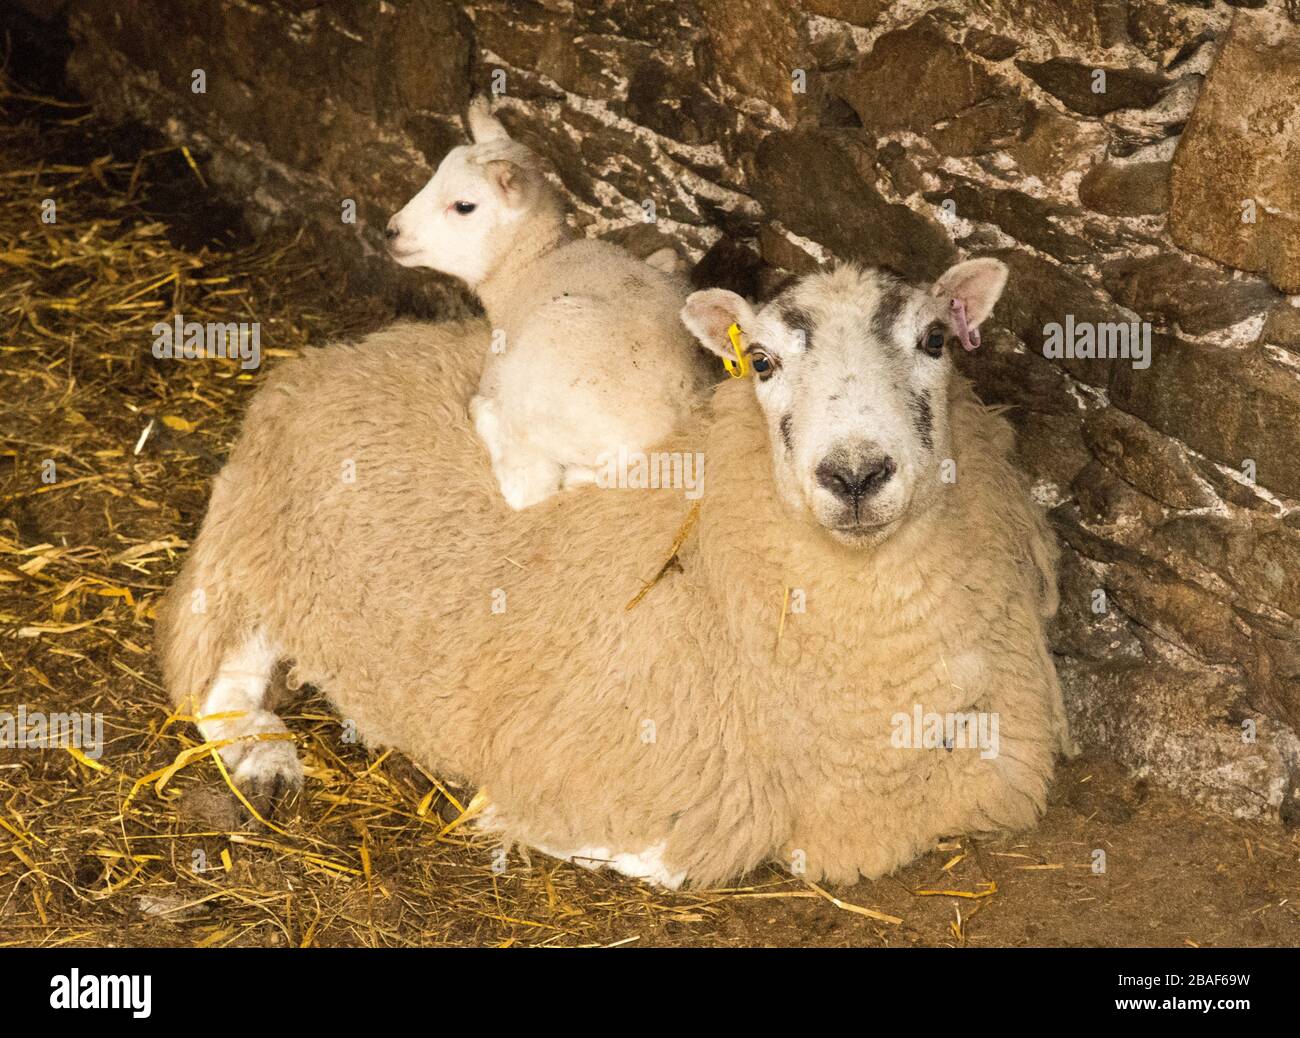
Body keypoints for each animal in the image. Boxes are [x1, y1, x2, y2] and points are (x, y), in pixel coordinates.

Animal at [155, 259, 1073, 889]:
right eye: (763, 362)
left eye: (934, 340)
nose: (854, 474)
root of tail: (345, 350)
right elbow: (675, 849)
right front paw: (519, 820)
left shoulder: (994, 774)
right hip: (258, 556)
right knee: (215, 681)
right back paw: (265, 759)